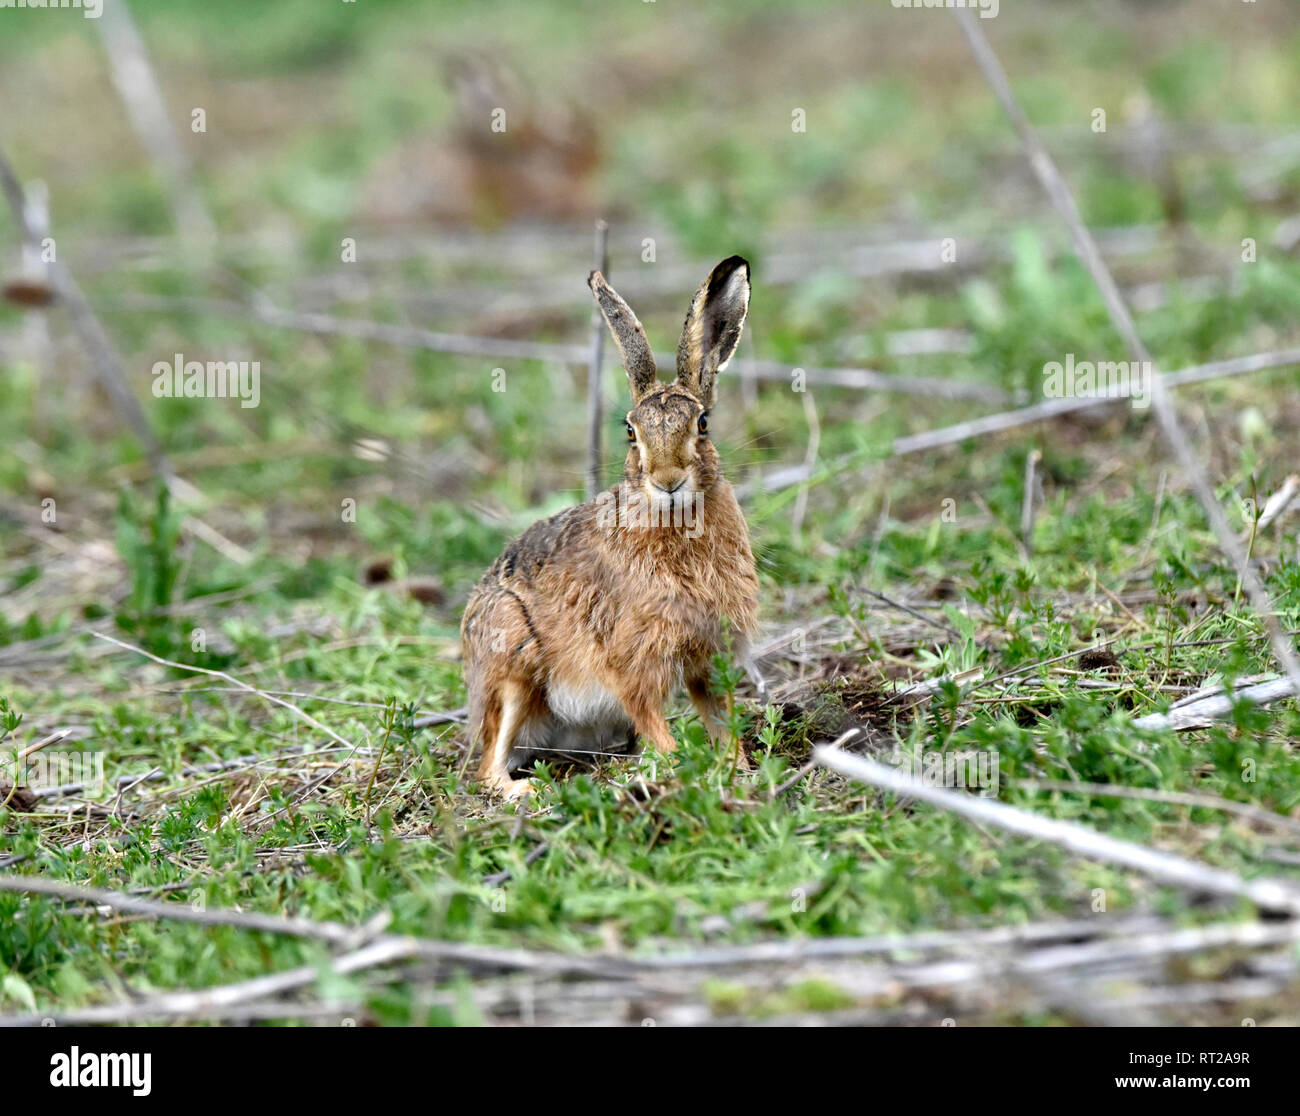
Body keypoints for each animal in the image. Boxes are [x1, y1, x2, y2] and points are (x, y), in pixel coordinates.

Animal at [461, 256, 760, 798]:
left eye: (703, 424)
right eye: (629, 431)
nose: (667, 481)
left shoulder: (707, 657)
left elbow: (718, 714)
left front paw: (736, 769)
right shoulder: (630, 663)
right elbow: (653, 718)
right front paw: (682, 766)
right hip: (512, 661)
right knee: (488, 768)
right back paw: (530, 791)